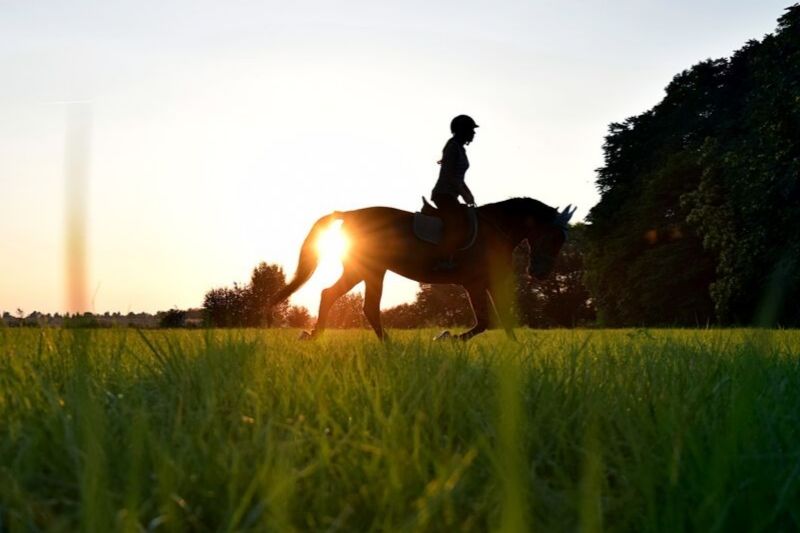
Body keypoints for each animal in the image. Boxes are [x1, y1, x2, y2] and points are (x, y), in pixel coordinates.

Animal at [270, 198, 576, 341]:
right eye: (553, 237)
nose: (540, 273)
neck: (495, 230)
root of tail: (349, 215)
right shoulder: (474, 284)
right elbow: (484, 322)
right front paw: (446, 338)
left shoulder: (489, 283)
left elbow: (503, 319)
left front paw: (517, 351)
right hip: (369, 271)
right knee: (358, 304)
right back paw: (387, 345)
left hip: (365, 271)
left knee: (335, 296)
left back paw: (317, 336)